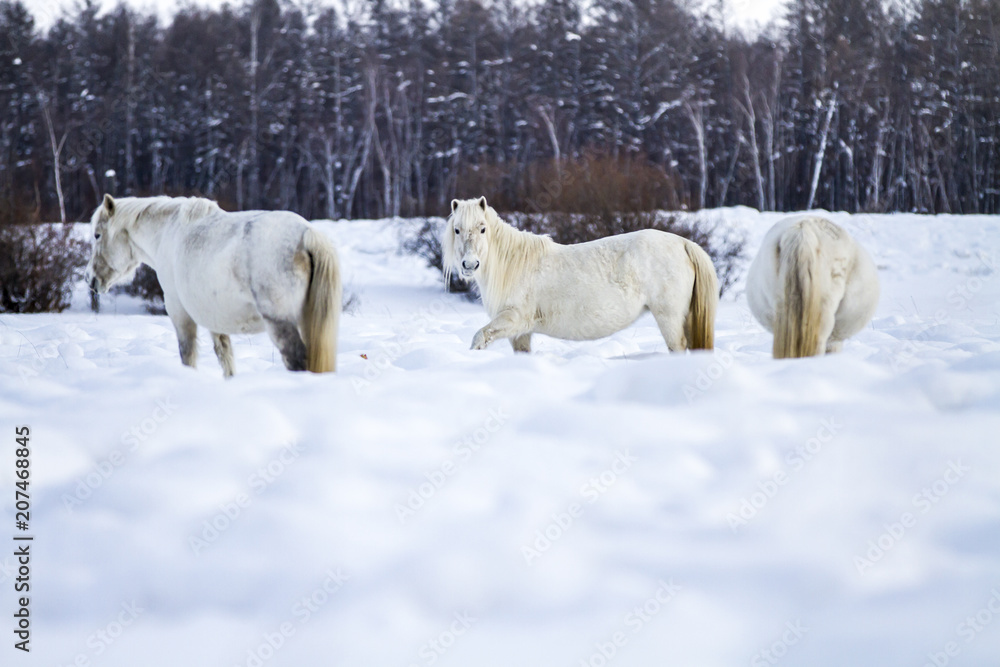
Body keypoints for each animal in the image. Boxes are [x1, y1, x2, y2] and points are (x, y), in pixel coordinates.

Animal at [85, 194, 341, 376]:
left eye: (97, 235)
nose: (90, 279)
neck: (169, 233)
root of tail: (306, 234)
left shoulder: (180, 314)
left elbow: (188, 356)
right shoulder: (215, 320)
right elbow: (226, 359)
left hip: (280, 323)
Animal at [443, 197, 718, 353]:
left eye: (482, 229)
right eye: (457, 230)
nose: (470, 264)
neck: (515, 264)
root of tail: (684, 243)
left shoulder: (514, 318)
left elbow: (479, 337)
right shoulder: (521, 333)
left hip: (669, 317)